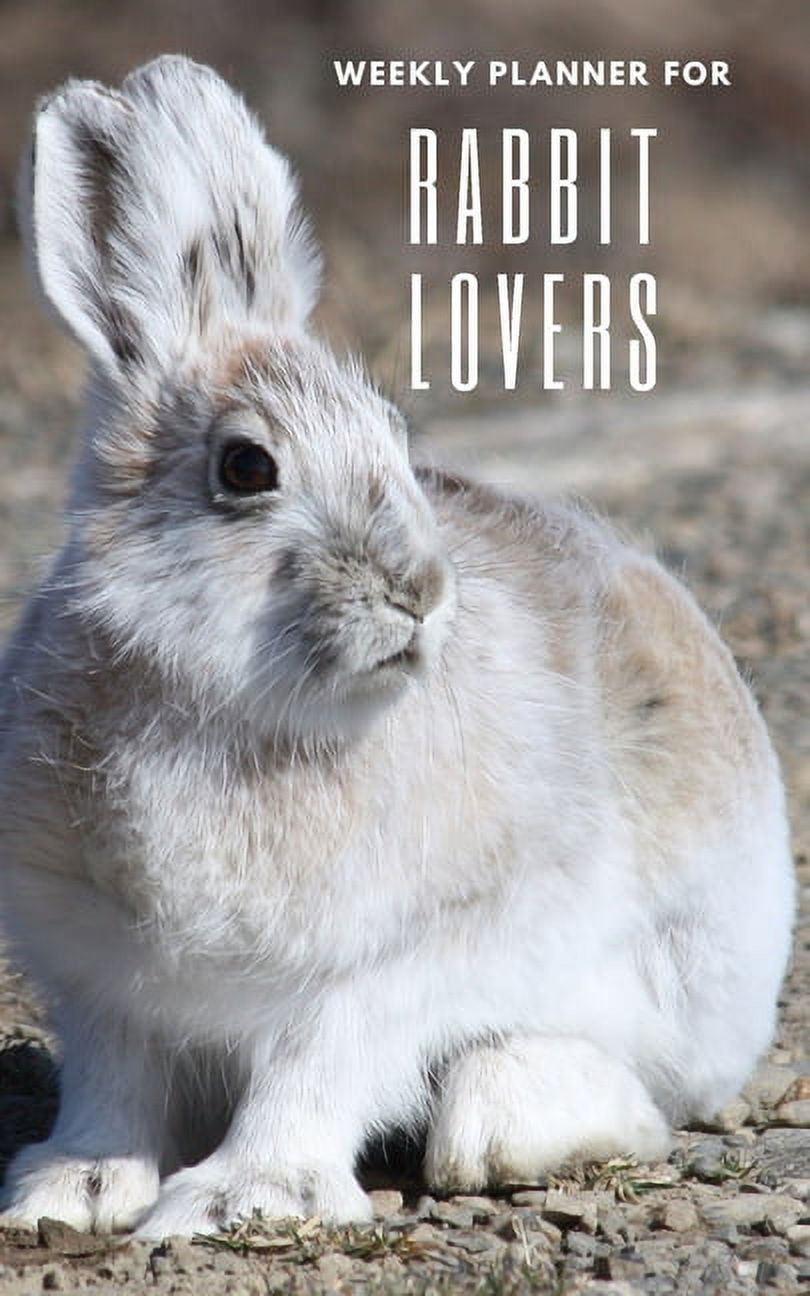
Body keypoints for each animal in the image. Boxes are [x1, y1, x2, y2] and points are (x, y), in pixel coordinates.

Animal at [0, 55, 794, 1239]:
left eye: (397, 442)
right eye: (246, 467)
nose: (420, 592)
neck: (237, 712)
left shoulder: (396, 962)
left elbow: (315, 1072)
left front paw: (245, 1199)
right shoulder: (99, 972)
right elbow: (115, 1083)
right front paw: (74, 1188)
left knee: (598, 1103)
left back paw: (500, 1118)